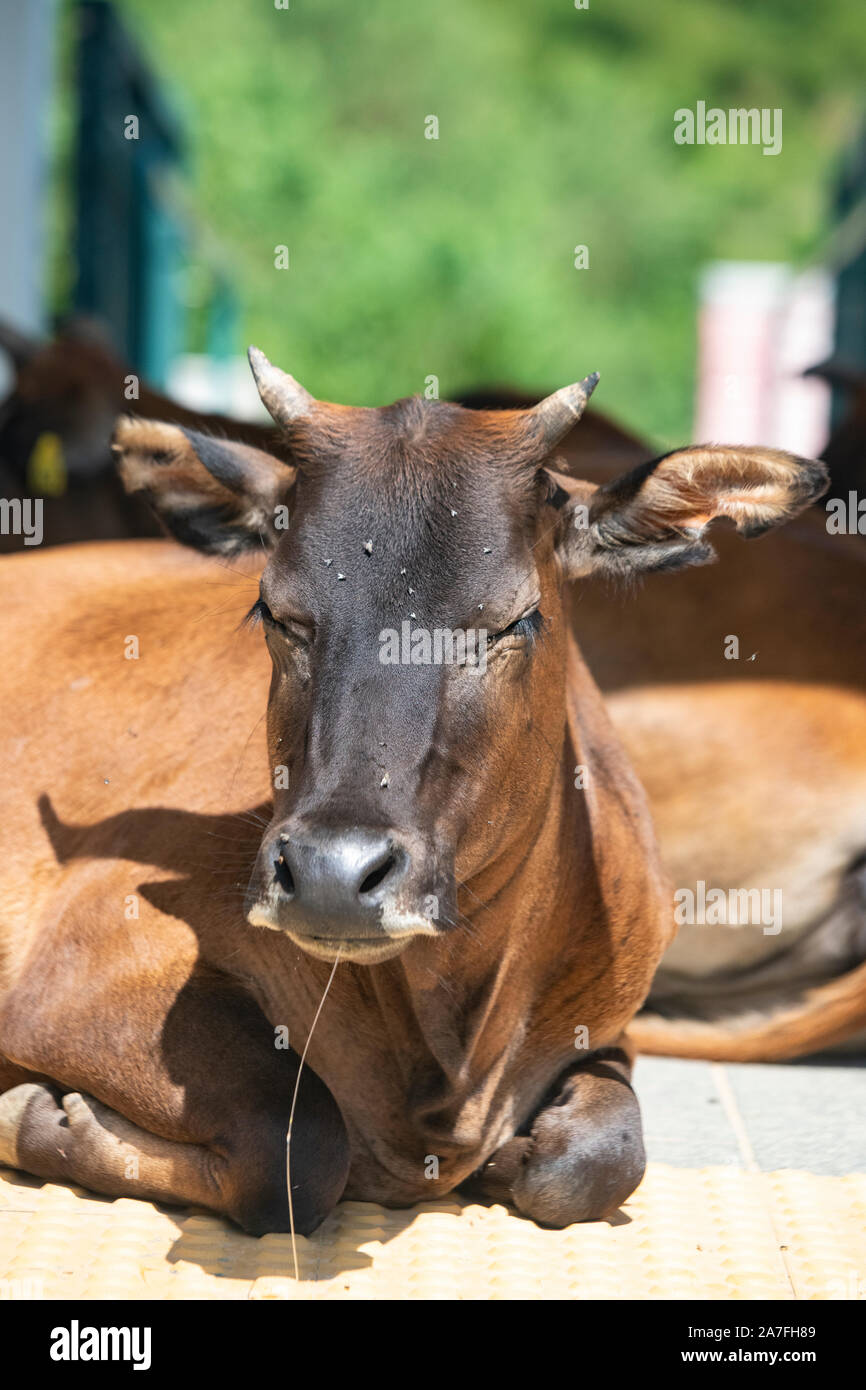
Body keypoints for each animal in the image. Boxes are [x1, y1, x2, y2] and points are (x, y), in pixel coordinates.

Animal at [0, 349, 829, 1234]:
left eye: (513, 619)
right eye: (276, 611)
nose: (330, 876)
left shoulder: (612, 1026)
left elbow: (599, 1160)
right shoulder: (79, 975)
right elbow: (296, 1148)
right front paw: (38, 1117)